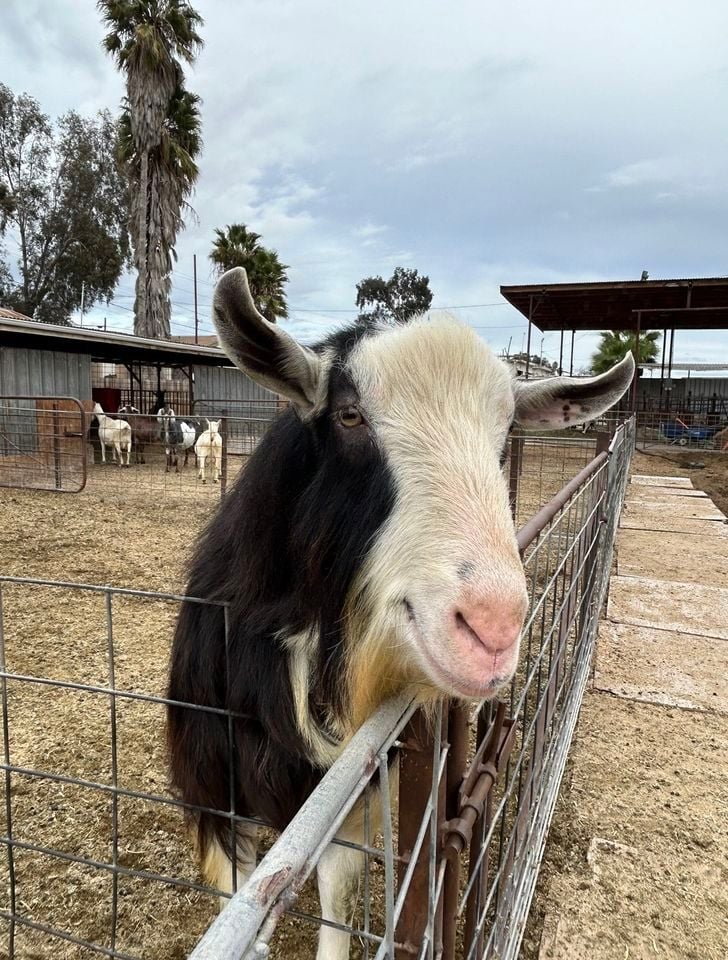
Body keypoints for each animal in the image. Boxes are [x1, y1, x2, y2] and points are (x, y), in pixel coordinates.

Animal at [167, 268, 634, 960]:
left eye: (504, 439)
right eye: (349, 415)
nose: (493, 630)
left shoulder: (350, 792)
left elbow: (335, 897)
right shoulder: (215, 794)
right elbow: (239, 908)